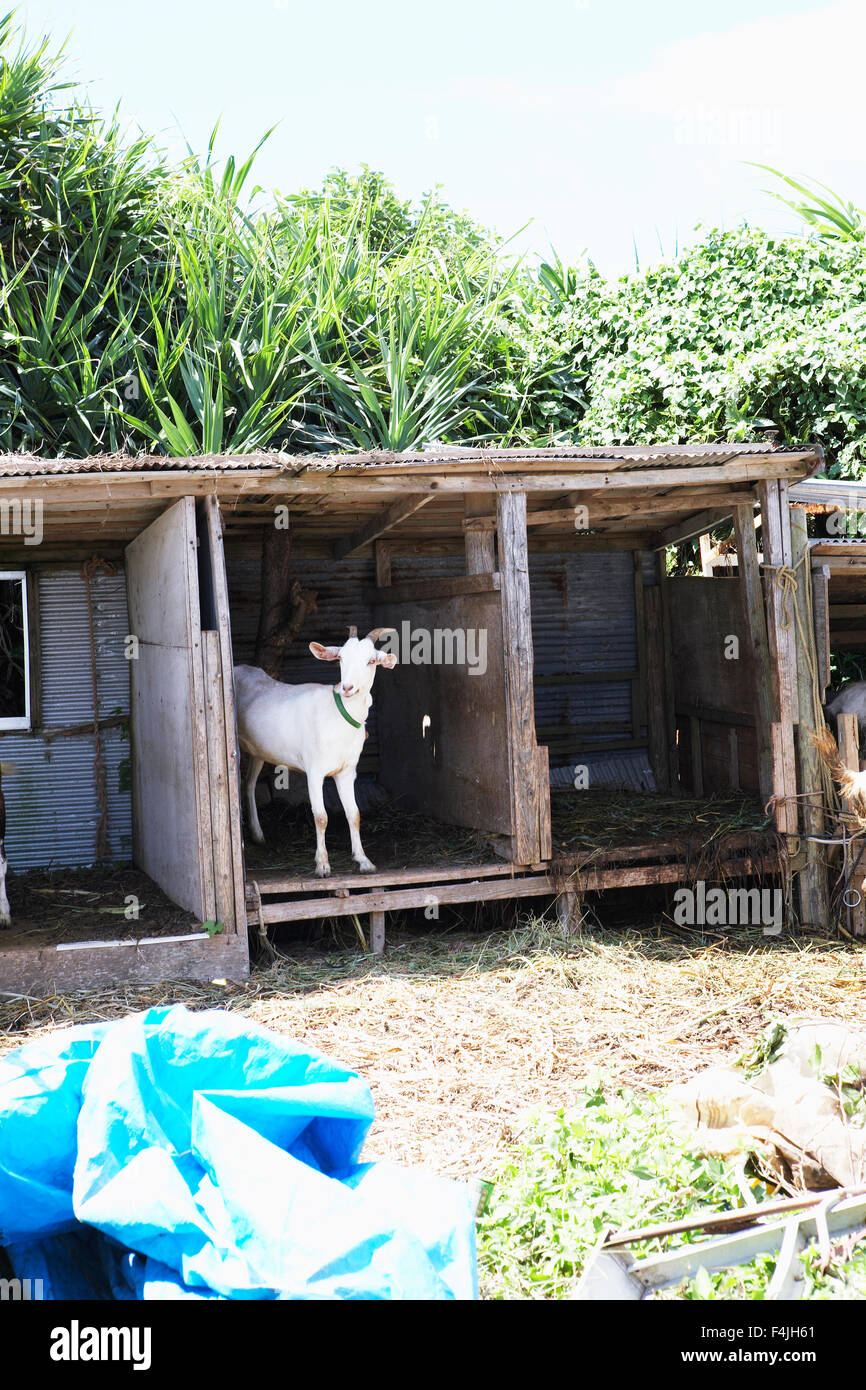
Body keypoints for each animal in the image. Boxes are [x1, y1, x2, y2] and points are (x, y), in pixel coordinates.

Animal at [234, 627, 397, 877]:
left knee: (250, 784)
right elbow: (321, 817)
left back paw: (258, 834)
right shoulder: (314, 770)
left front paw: (363, 860)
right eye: (341, 658)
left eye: (370, 661)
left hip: (258, 751)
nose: (347, 687)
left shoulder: (347, 771)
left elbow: (354, 814)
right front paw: (322, 865)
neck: (337, 716)